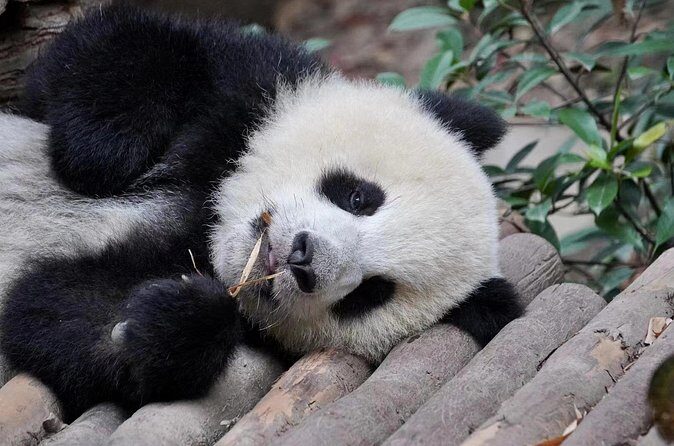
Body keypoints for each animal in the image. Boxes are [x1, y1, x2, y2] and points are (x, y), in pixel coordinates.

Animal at [0, 4, 521, 419]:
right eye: (359, 197)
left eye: (371, 293)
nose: (302, 258)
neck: (206, 224)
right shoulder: (251, 85)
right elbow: (106, 55)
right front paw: (99, 152)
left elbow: (60, 319)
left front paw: (171, 318)